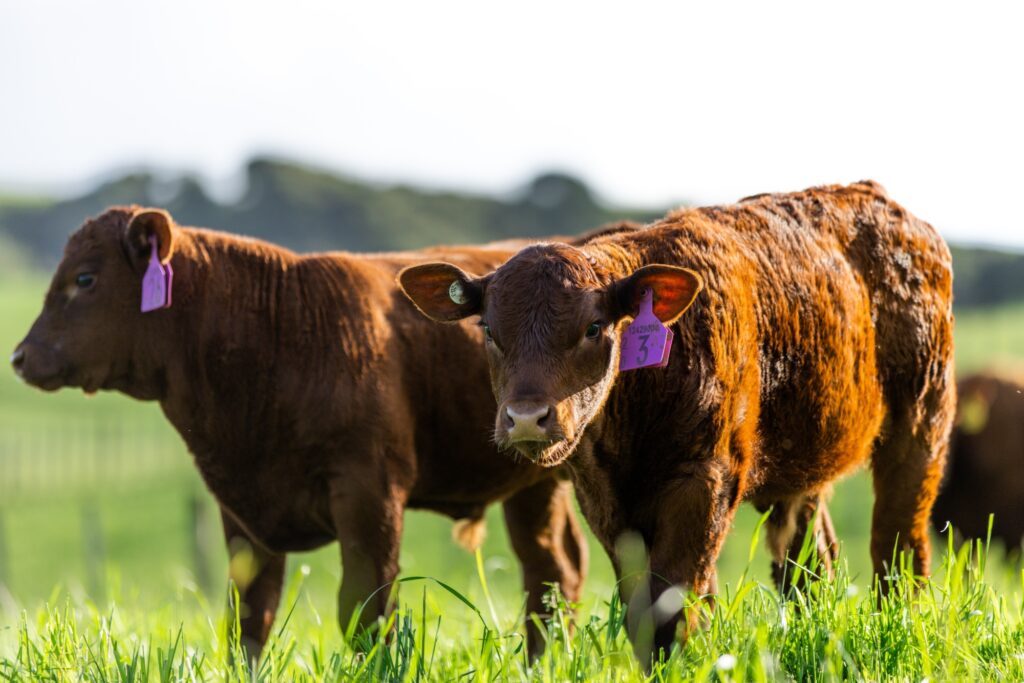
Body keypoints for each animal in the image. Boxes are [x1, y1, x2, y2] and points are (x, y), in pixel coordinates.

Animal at [9, 207, 623, 659]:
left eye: (85, 278)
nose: (19, 356)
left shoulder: (369, 492)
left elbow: (365, 610)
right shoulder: (241, 510)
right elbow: (248, 619)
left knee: (551, 572)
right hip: (533, 482)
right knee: (553, 571)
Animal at [398, 181, 956, 660]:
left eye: (594, 328)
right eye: (489, 331)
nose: (528, 418)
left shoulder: (703, 480)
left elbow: (675, 606)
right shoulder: (604, 502)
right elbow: (643, 611)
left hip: (922, 423)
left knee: (899, 549)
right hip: (805, 466)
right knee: (810, 565)